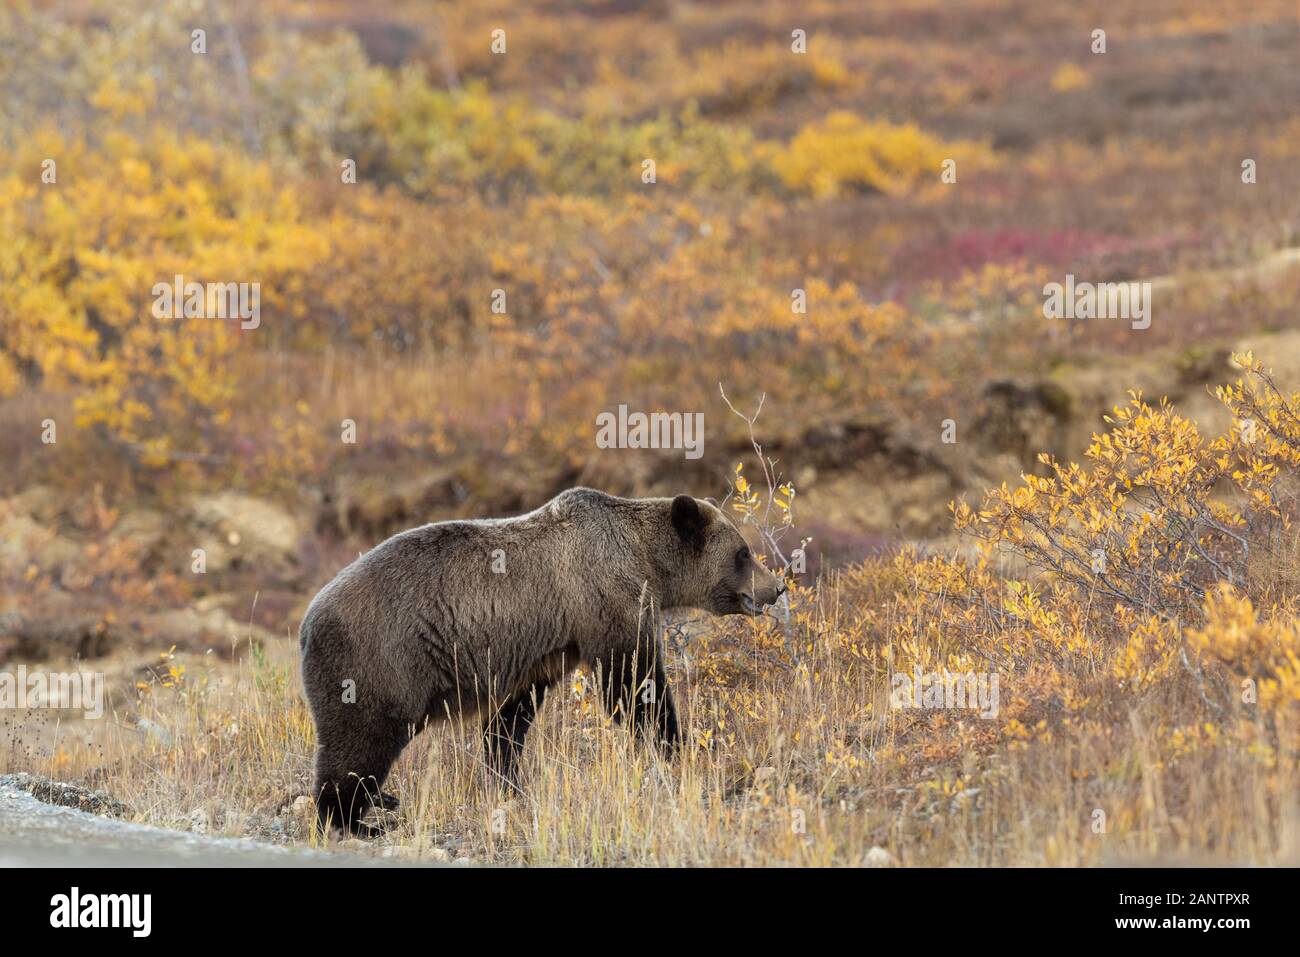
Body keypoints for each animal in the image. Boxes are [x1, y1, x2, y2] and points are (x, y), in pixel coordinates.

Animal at [298, 487, 786, 835]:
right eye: (743, 552)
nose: (776, 586)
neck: (647, 562)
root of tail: (307, 620)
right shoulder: (603, 600)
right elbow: (632, 684)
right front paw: (677, 747)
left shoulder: (543, 651)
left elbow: (510, 720)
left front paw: (509, 781)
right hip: (376, 663)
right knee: (359, 740)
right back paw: (352, 819)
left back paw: (380, 802)